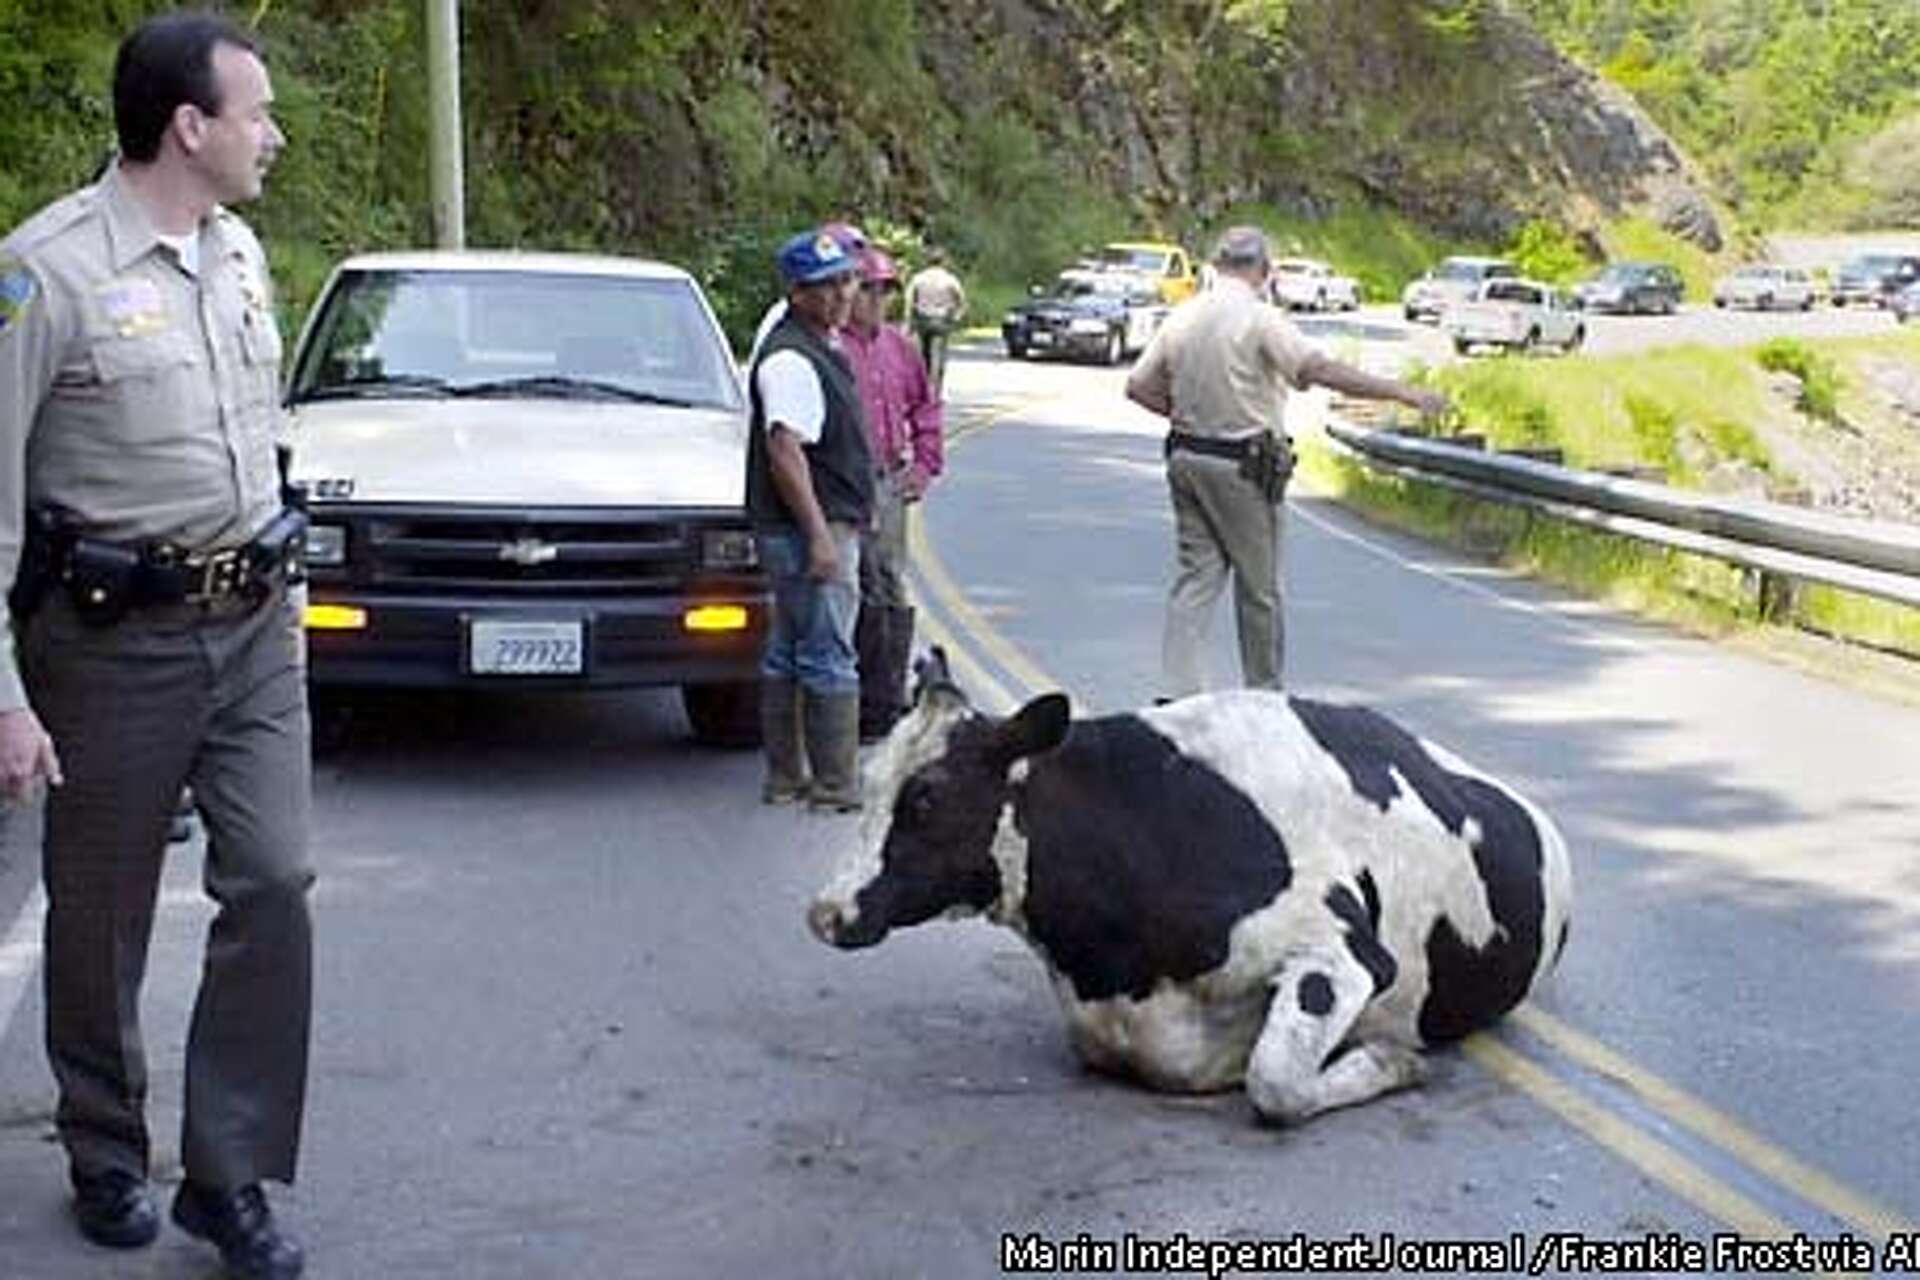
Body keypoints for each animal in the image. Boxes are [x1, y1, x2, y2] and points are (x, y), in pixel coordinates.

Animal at [807, 650, 1574, 1125]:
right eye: (871, 780)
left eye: (927, 798)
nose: (825, 913)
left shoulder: (1346, 952)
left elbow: (1274, 1082)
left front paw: (1391, 1059)